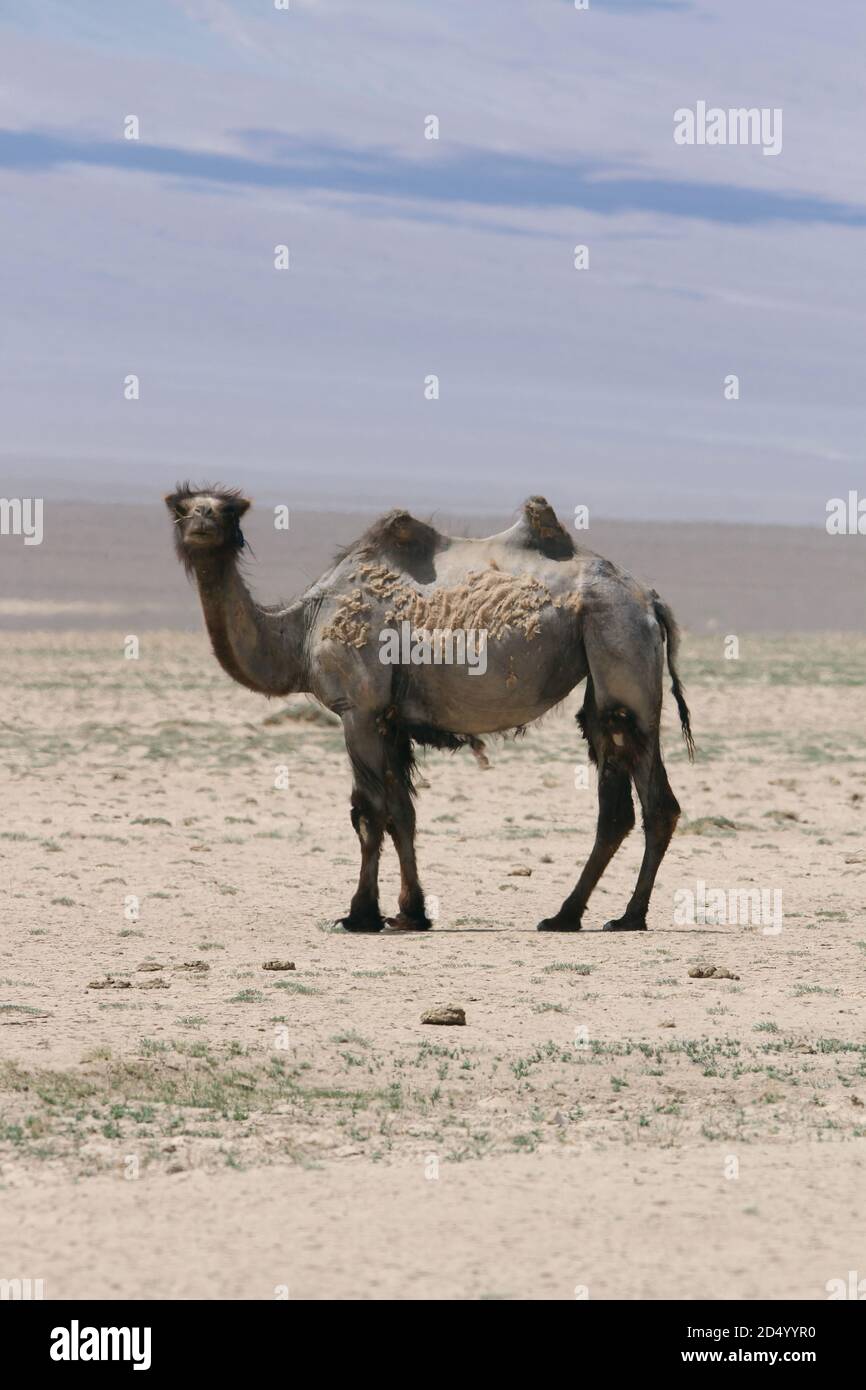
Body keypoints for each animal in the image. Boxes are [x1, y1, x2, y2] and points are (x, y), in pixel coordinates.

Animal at [165, 486, 694, 933]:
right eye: (184, 505)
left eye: (227, 509)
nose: (203, 521)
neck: (302, 629)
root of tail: (650, 599)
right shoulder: (390, 721)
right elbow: (403, 812)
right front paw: (410, 913)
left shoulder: (358, 709)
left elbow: (370, 812)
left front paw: (362, 916)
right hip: (612, 672)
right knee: (636, 803)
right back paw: (587, 916)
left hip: (617, 645)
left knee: (636, 801)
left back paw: (609, 916)